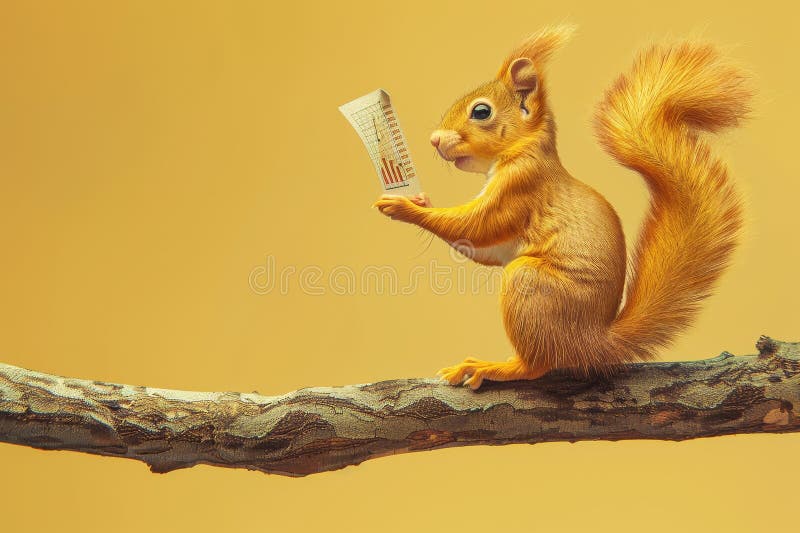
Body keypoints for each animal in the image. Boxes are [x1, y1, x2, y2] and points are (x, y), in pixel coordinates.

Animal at [373, 25, 752, 389]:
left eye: (481, 111)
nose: (434, 140)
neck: (522, 149)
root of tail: (593, 345)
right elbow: (484, 245)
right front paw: (419, 199)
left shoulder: (521, 186)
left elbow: (476, 225)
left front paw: (405, 207)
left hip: (530, 285)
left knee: (537, 364)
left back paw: (493, 367)